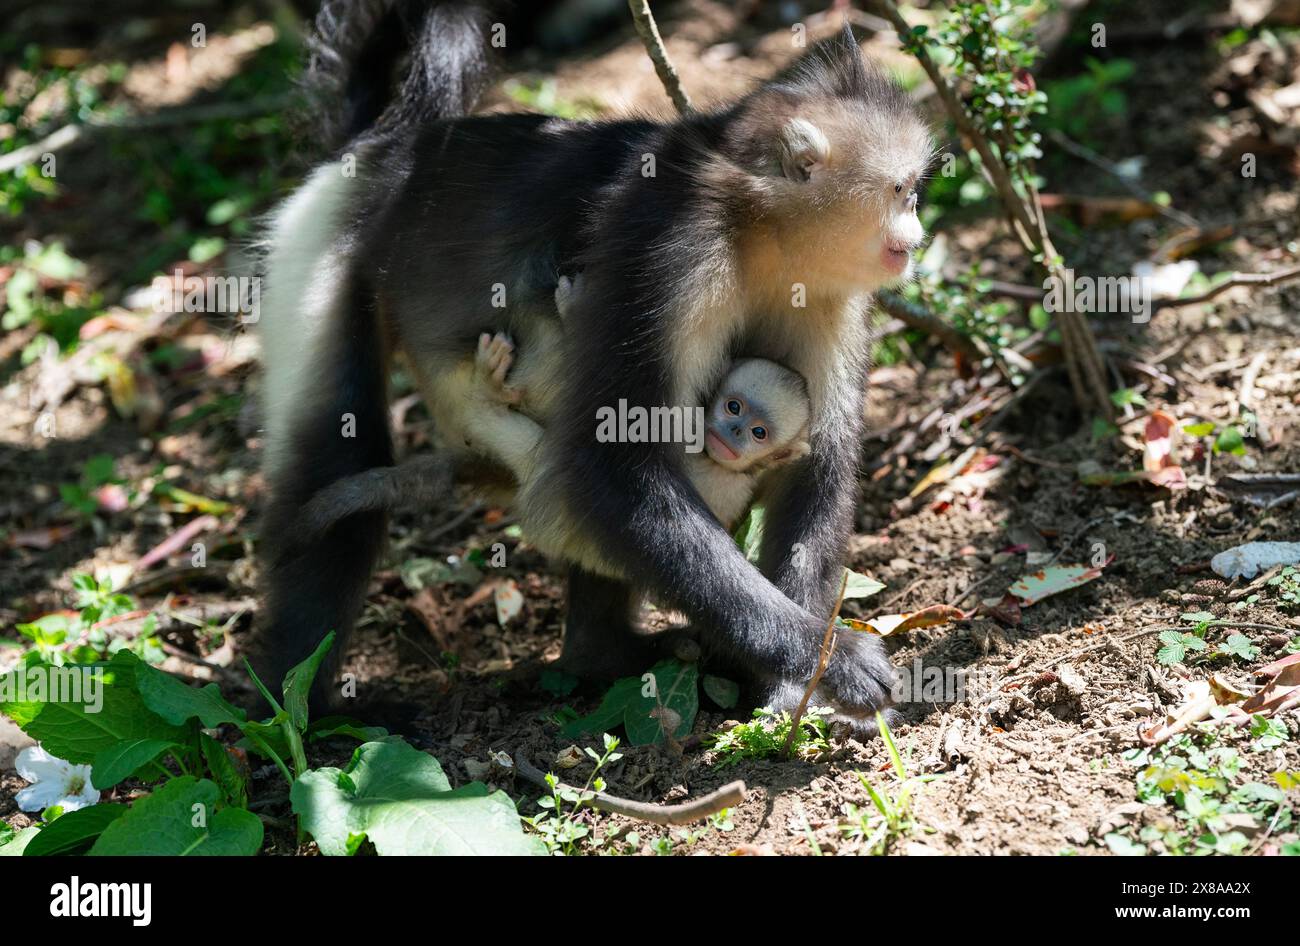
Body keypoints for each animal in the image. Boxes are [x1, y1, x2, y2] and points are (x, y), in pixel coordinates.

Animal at [254, 0, 932, 724]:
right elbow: (615, 457)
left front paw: (793, 685)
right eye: (902, 192)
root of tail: (386, 152)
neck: (758, 232)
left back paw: (600, 654)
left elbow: (812, 464)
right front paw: (823, 657)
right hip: (321, 249)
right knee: (342, 459)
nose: (917, 235)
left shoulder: (827, 294)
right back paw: (307, 712)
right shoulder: (673, 251)